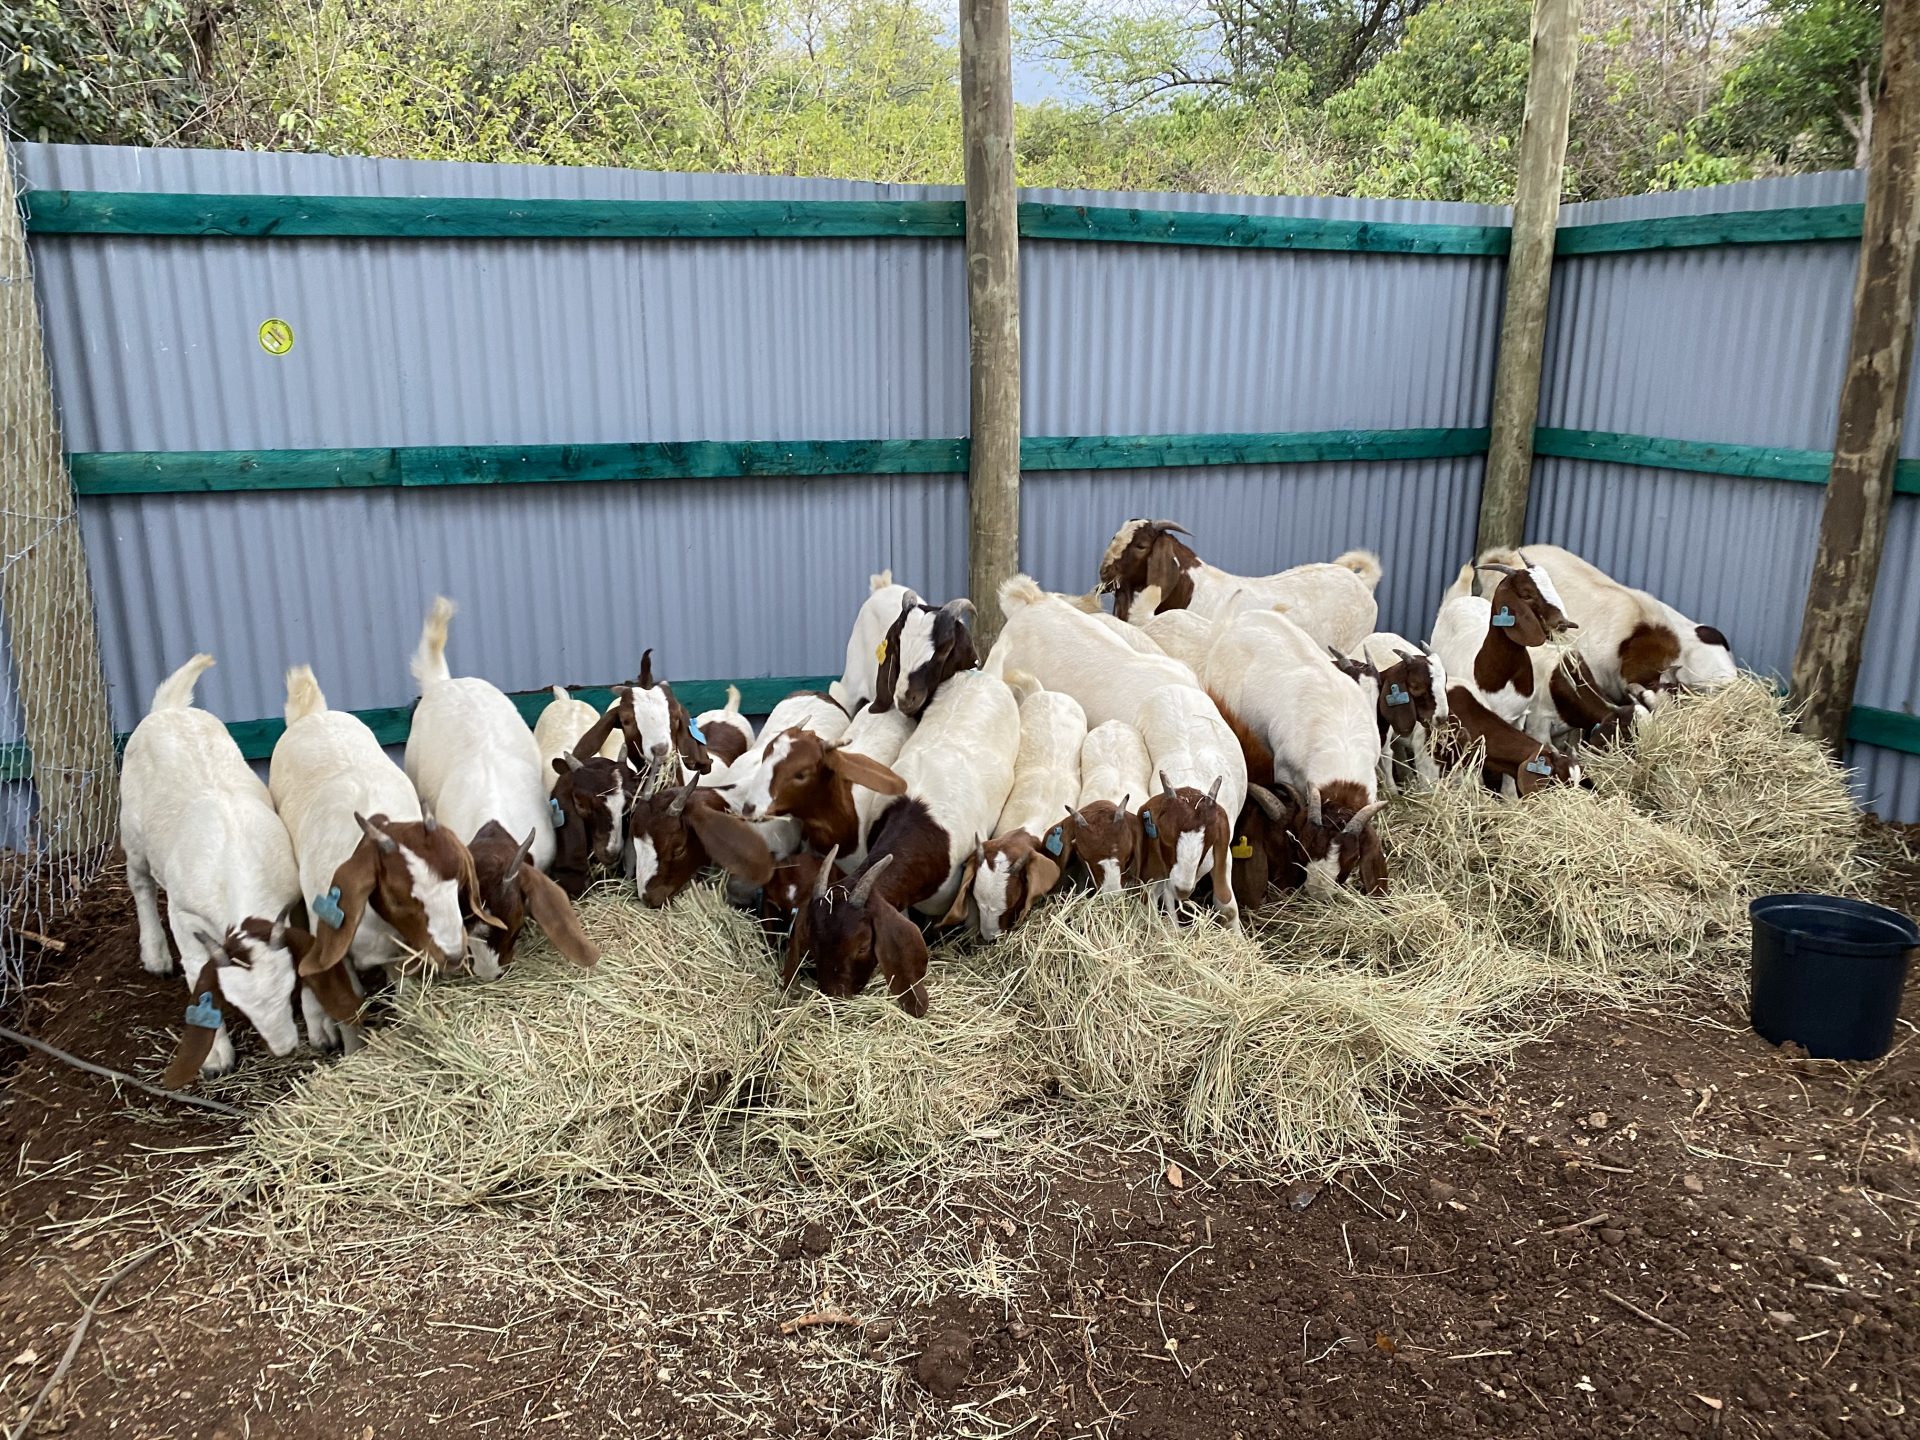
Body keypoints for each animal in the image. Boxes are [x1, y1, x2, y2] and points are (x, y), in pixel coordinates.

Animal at [121, 655, 359, 1083]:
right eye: (239, 1006)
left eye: (288, 988)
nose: (284, 1048)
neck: (233, 868)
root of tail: (167, 709)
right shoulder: (183, 914)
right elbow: (196, 969)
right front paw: (215, 1056)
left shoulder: (293, 899)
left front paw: (321, 1027)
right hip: (131, 832)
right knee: (139, 883)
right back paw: (155, 955)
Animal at [1131, 684, 1248, 925]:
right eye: (1164, 838)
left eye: (1209, 840)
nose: (1183, 890)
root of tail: (1170, 687)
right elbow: (1165, 897)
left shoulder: (1223, 850)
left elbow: (1228, 907)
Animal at [1201, 608, 1388, 894]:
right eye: (1303, 848)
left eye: (1353, 857)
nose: (1319, 893)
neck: (1341, 746)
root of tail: (1246, 616)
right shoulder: (1287, 774)